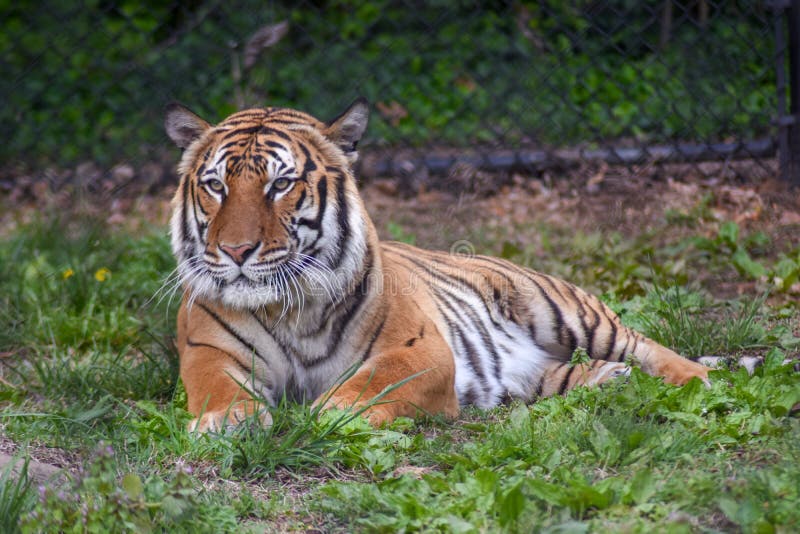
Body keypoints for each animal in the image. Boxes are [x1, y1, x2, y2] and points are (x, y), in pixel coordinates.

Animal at [164, 98, 711, 433]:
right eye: (216, 185)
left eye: (280, 184)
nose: (236, 251)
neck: (288, 309)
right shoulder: (208, 352)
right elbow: (217, 388)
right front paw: (223, 423)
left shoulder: (420, 350)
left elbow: (369, 386)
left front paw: (326, 415)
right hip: (532, 375)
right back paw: (609, 379)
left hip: (561, 309)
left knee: (645, 344)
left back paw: (697, 379)